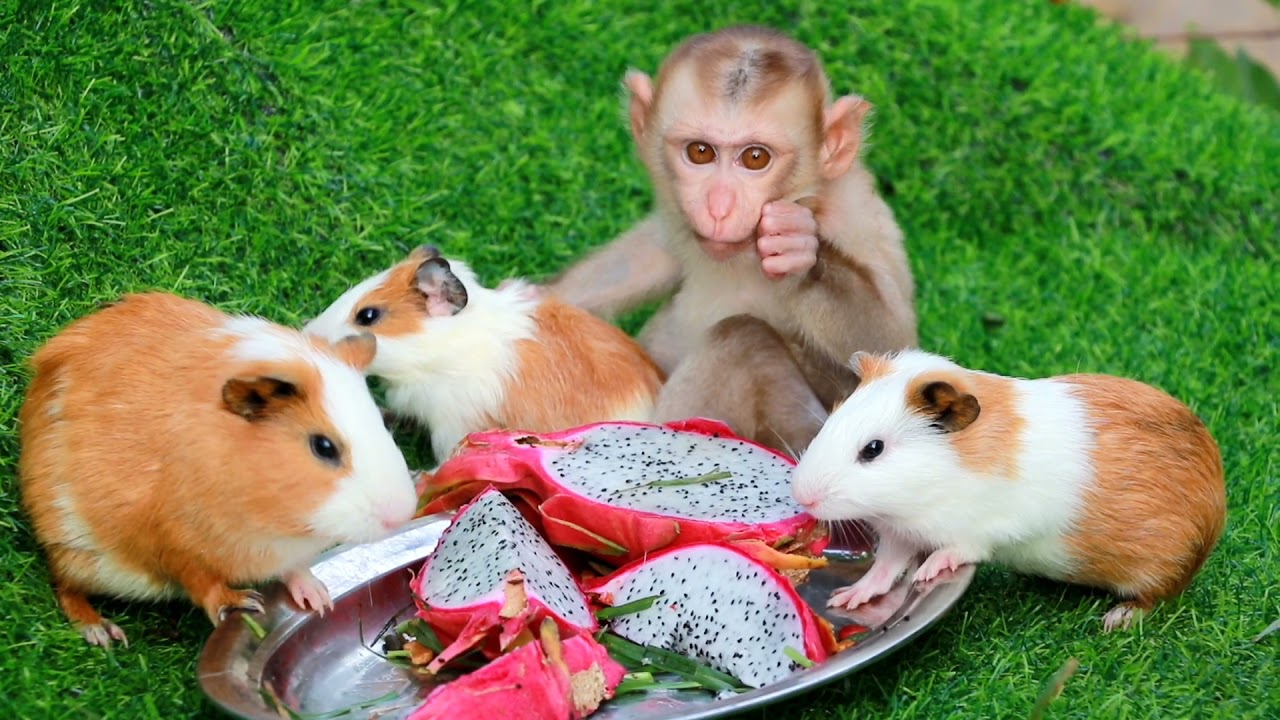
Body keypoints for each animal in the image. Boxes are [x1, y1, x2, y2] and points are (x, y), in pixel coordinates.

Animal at [546, 25, 918, 454]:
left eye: (756, 158)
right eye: (700, 152)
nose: (719, 208)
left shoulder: (853, 213)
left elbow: (896, 347)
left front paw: (801, 256)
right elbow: (657, 250)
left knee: (740, 340)